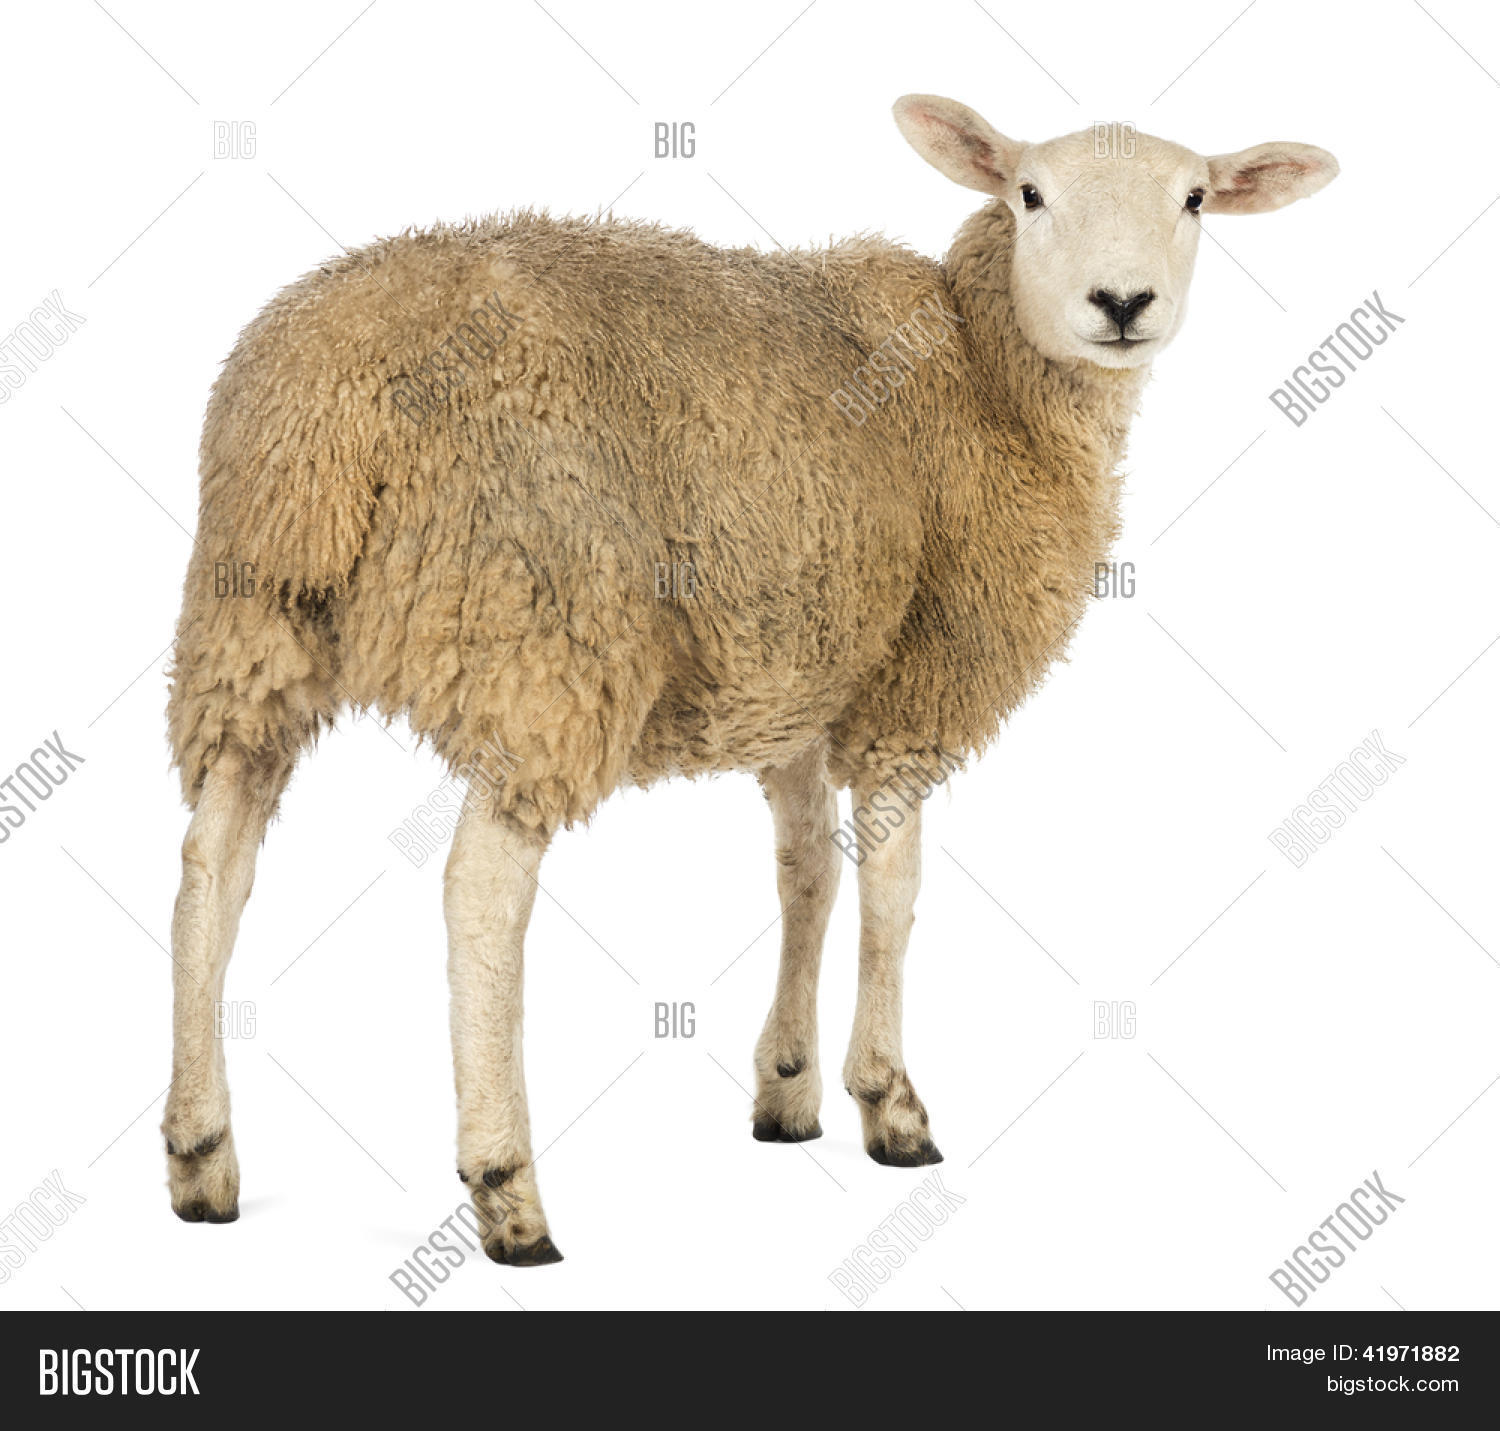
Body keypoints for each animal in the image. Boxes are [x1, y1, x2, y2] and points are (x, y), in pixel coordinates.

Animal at [162, 95, 1338, 1264]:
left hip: (250, 628)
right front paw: (889, 1104)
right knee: (478, 897)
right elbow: (895, 893)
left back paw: (200, 1156)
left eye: (1194, 199)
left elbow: (806, 872)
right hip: (541, 632)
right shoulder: (912, 680)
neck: (987, 375)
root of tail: (337, 407)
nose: (1123, 302)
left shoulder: (800, 685)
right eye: (1029, 193)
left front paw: (788, 1089)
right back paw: (508, 1192)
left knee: (211, 872)